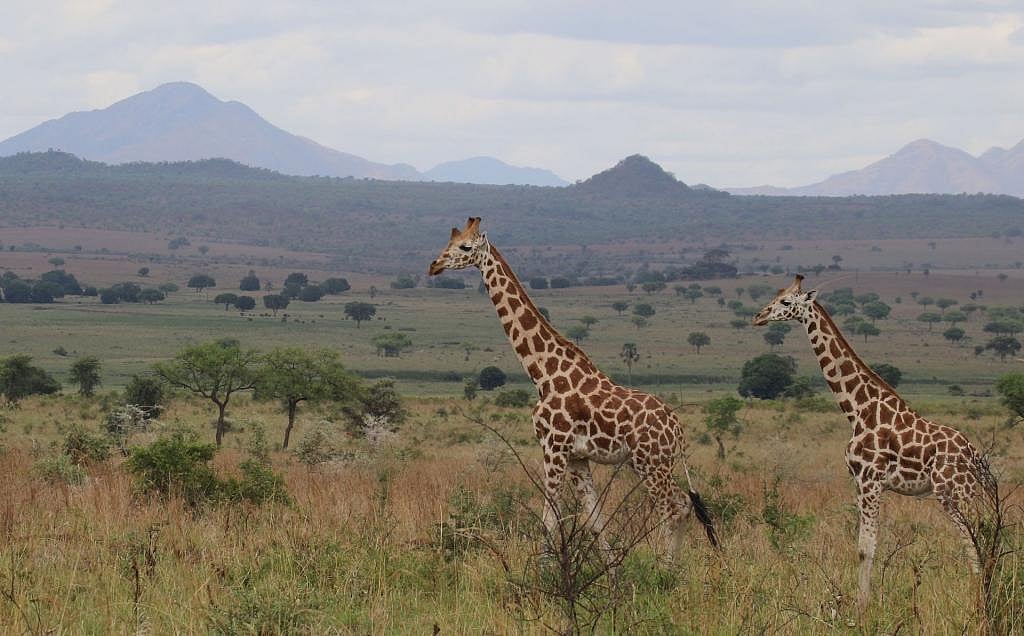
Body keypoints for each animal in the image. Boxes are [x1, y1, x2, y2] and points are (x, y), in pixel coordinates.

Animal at [429, 217, 717, 554]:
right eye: (447, 243)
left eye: (465, 247)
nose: (434, 265)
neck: (543, 373)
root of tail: (678, 429)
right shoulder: (578, 457)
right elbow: (595, 521)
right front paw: (610, 568)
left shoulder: (554, 447)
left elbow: (549, 519)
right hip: (652, 462)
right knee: (683, 505)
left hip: (651, 462)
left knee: (674, 507)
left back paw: (665, 565)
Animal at [753, 275, 996, 608]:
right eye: (775, 296)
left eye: (786, 302)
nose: (759, 317)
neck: (858, 410)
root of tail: (975, 457)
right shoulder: (858, 482)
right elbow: (864, 546)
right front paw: (862, 603)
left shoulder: (870, 480)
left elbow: (865, 548)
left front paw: (862, 608)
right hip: (963, 494)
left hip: (955, 493)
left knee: (974, 542)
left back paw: (980, 604)